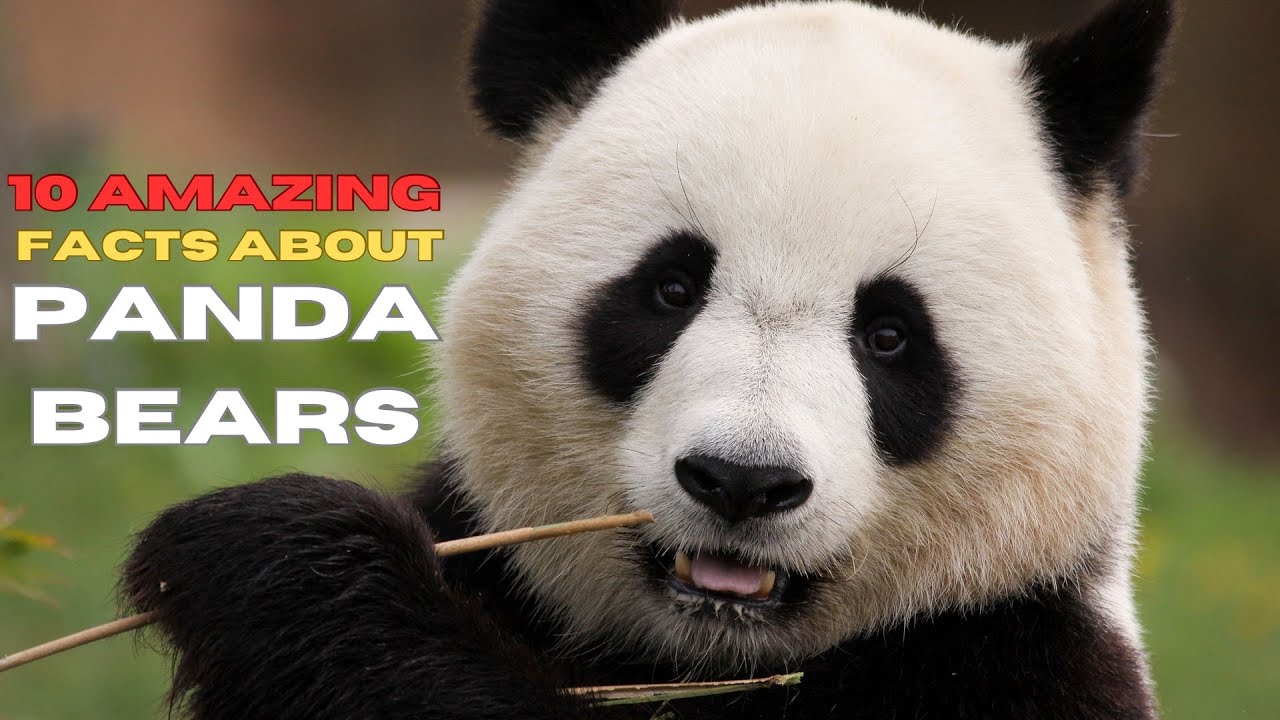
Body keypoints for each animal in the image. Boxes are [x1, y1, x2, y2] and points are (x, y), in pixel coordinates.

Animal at [121, 1, 1174, 718]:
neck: (704, 659)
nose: (741, 482)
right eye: (671, 288)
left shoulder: (1009, 662)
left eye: (889, 335)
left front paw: (278, 549)